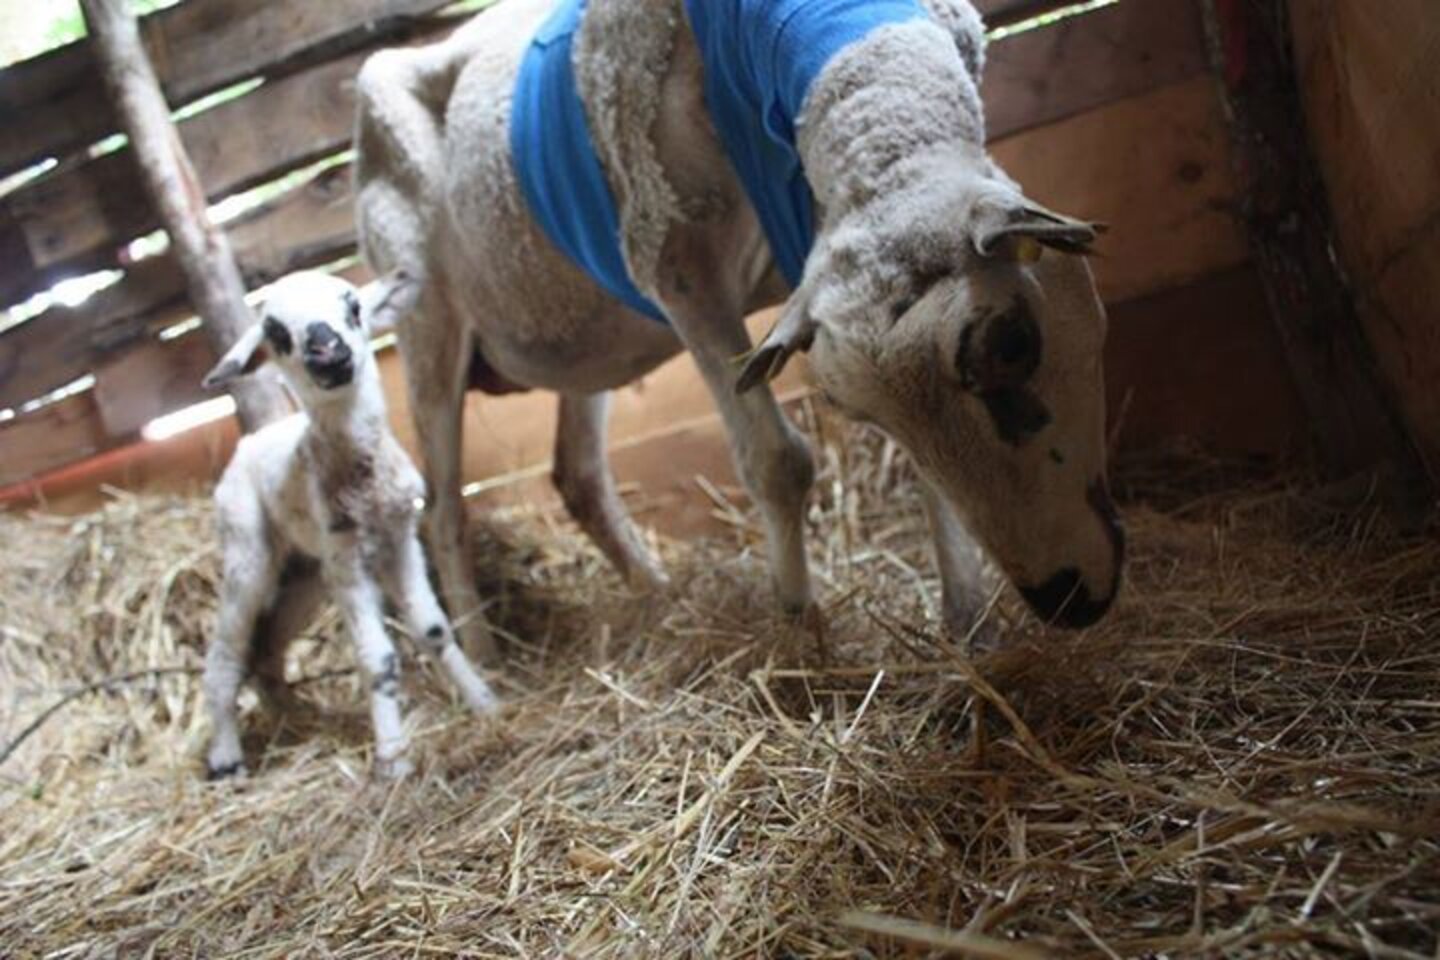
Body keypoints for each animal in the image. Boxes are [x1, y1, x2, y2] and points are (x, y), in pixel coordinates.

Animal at [199, 270, 498, 780]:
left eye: (354, 307)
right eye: (276, 333)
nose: (328, 349)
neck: (365, 481)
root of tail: (251, 441)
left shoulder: (400, 538)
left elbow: (434, 630)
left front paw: (485, 702)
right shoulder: (349, 561)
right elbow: (377, 658)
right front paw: (393, 758)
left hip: (303, 571)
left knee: (264, 648)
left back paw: (297, 715)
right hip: (249, 548)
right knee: (226, 650)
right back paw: (226, 758)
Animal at [354, 0, 1124, 652]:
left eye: (1013, 344)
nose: (1066, 599)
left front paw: (972, 630)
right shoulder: (677, 263)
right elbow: (777, 461)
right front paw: (801, 637)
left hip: (583, 333)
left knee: (577, 476)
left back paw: (658, 595)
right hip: (425, 321)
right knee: (442, 513)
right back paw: (484, 668)